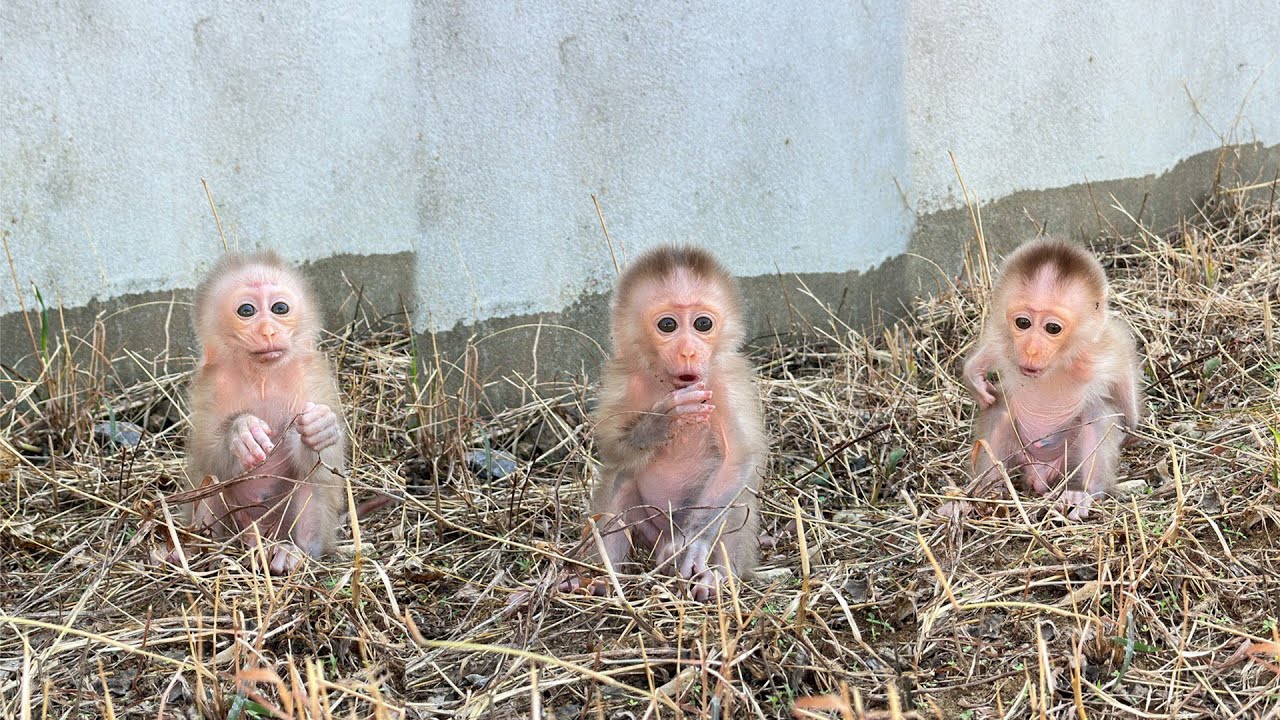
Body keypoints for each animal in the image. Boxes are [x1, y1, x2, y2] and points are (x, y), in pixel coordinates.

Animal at [182, 252, 346, 574]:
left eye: (280, 308)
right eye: (247, 310)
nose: (269, 331)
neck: (263, 376)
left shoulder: (313, 378)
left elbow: (326, 465)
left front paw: (321, 428)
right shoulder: (210, 384)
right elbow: (206, 454)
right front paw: (241, 433)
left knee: (311, 485)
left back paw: (292, 553)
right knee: (211, 481)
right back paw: (195, 552)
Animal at [568, 245, 769, 601]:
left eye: (702, 323)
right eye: (667, 325)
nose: (688, 352)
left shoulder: (724, 383)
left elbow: (736, 460)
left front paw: (693, 549)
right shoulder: (625, 381)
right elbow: (612, 451)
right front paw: (660, 423)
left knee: (736, 503)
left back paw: (716, 578)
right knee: (622, 484)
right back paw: (598, 580)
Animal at [939, 237, 1142, 521]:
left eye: (1052, 328)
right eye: (1023, 323)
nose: (1031, 350)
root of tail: (1040, 473)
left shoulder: (1102, 348)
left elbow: (1123, 380)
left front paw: (1132, 426)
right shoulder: (1004, 339)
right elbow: (991, 351)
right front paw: (974, 377)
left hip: (1065, 459)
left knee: (1097, 413)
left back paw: (1081, 494)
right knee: (1000, 411)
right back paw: (979, 496)